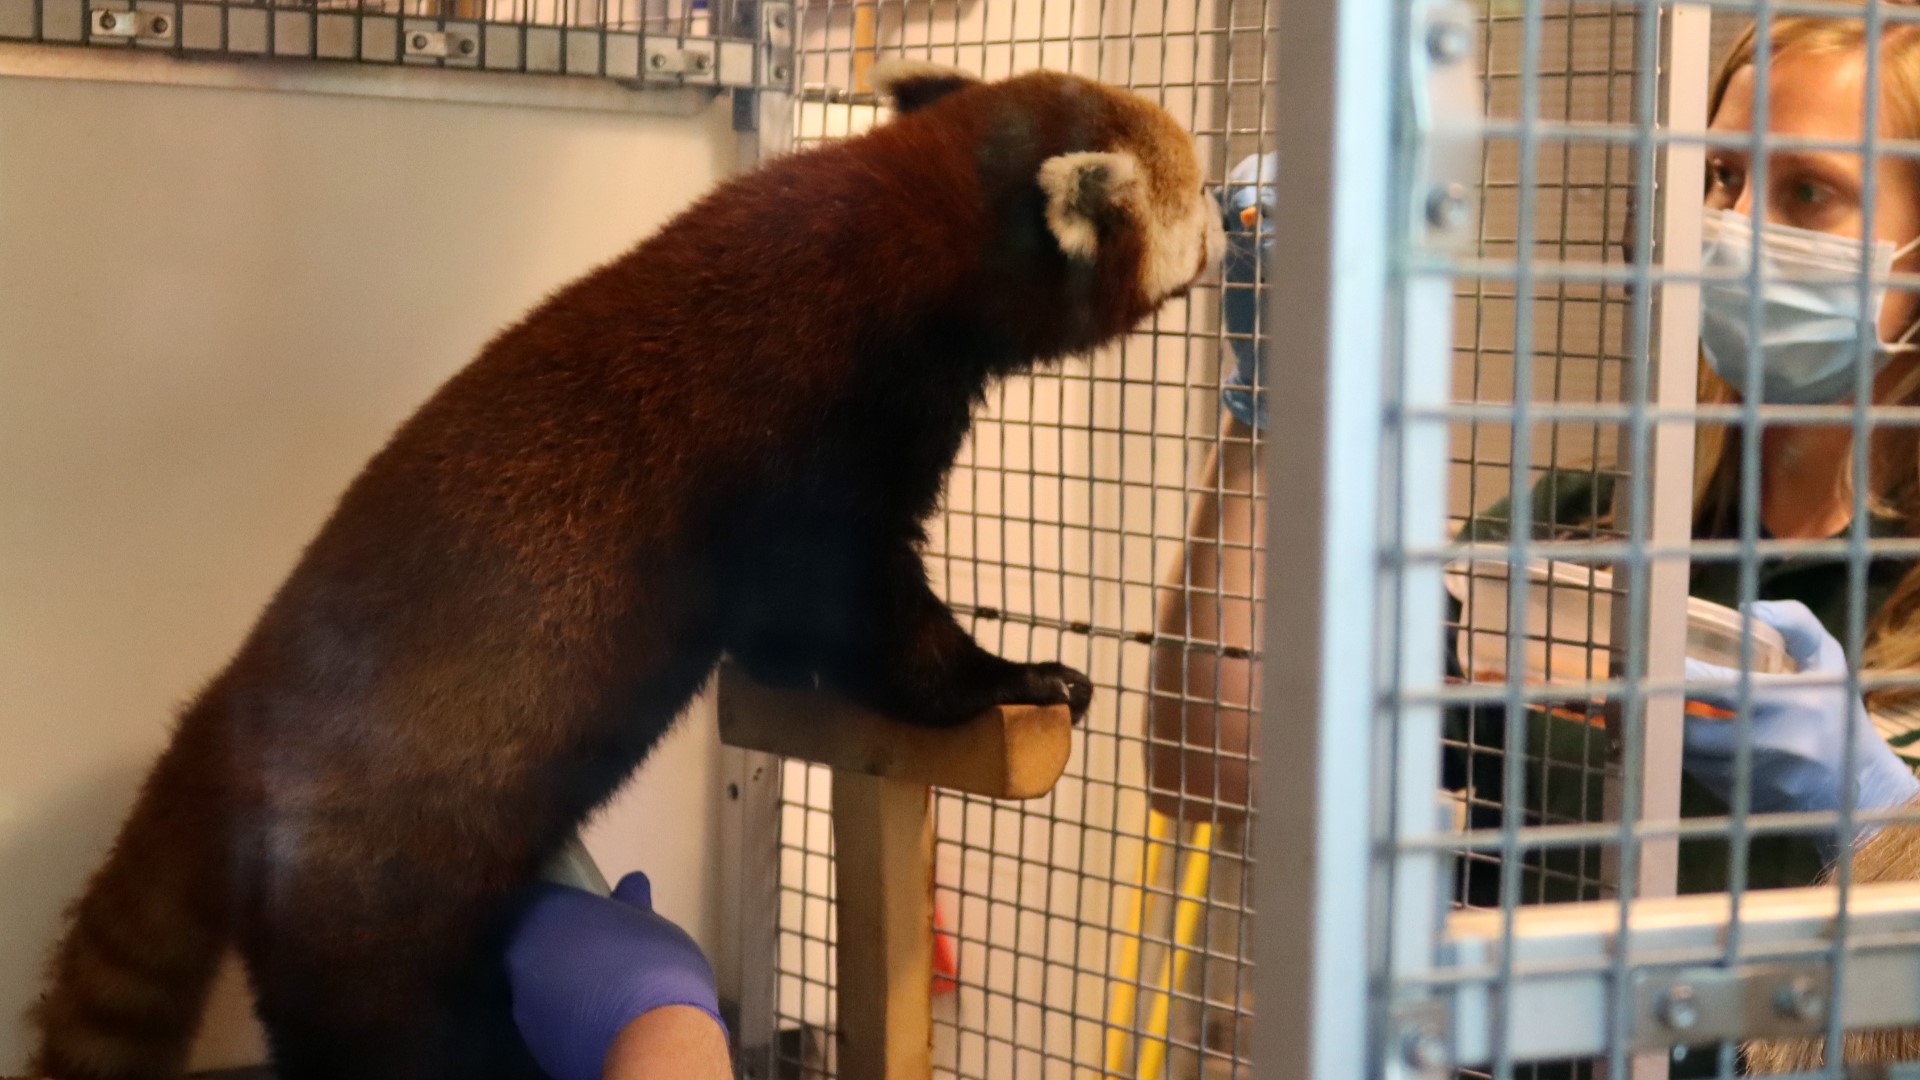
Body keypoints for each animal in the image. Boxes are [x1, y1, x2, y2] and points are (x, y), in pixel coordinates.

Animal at [29, 60, 1225, 1080]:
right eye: (1204, 192)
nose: (1234, 220)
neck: (902, 231)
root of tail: (215, 730)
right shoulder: (812, 429)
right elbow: (859, 610)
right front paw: (1012, 680)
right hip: (371, 898)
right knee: (393, 1029)